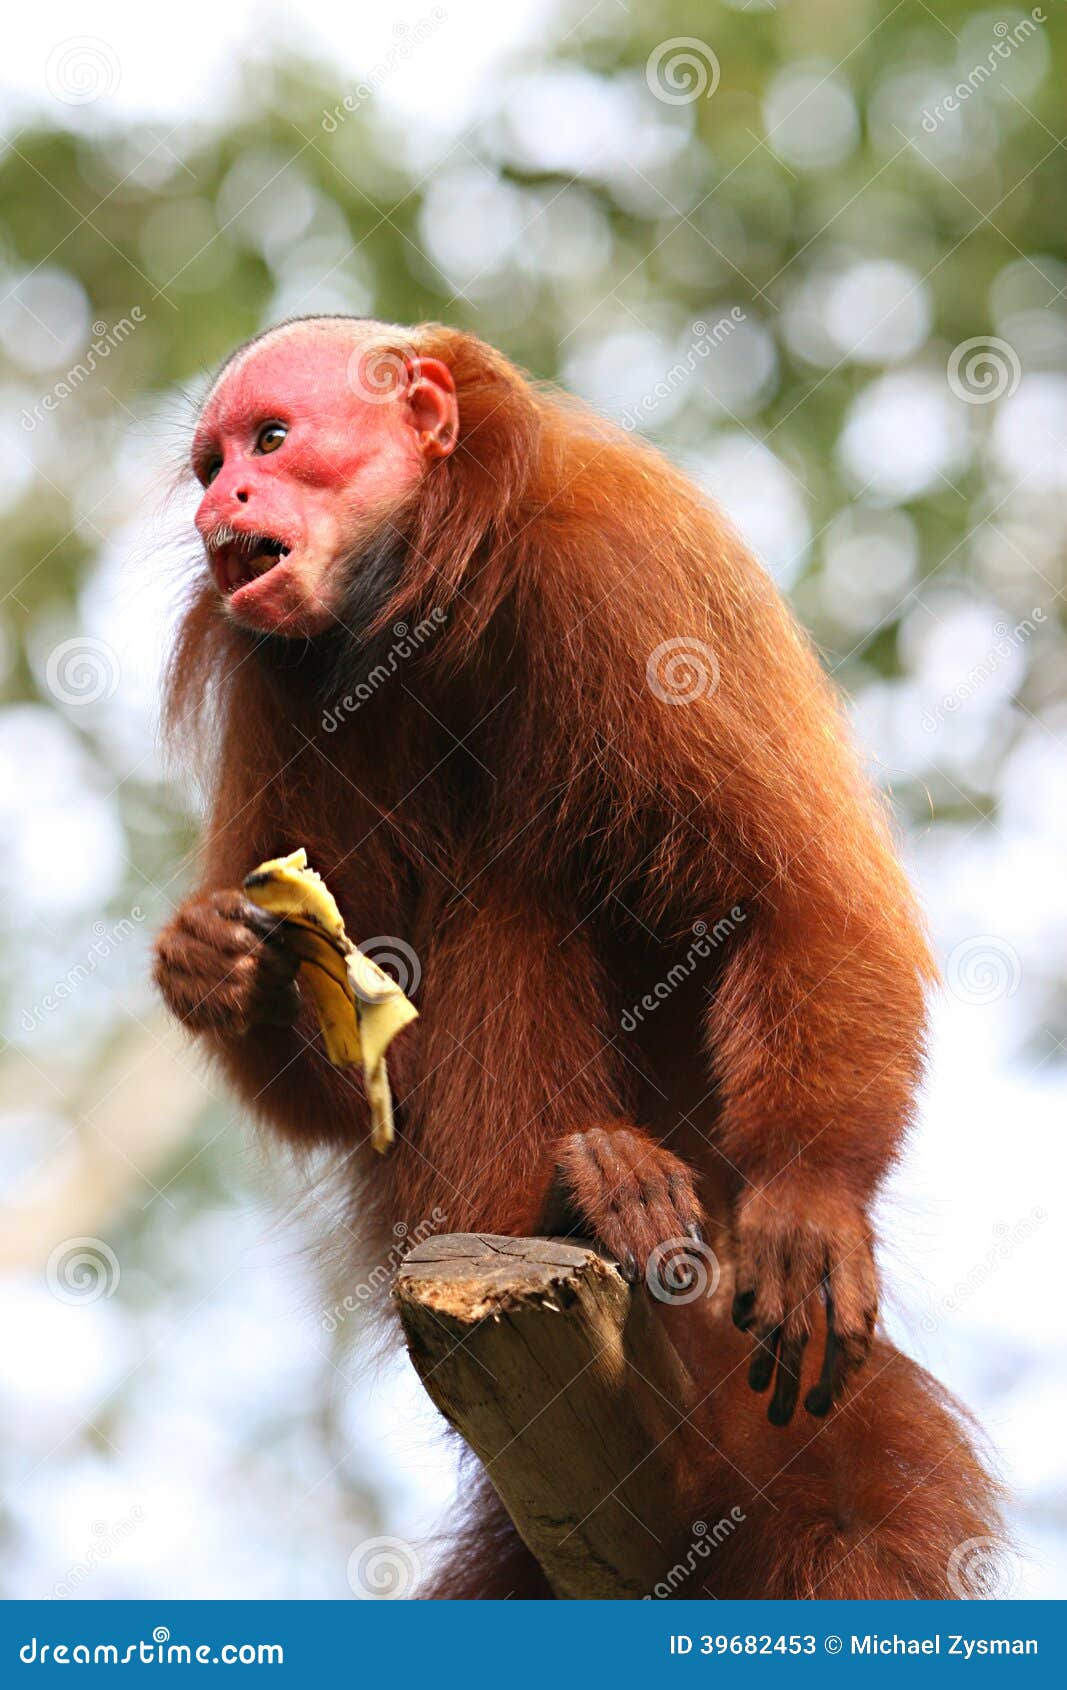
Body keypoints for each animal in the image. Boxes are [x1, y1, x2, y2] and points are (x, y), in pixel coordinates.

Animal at [154, 315, 1001, 1599]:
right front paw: (221, 971)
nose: (223, 505)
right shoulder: (278, 690)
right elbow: (352, 1092)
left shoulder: (630, 572)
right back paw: (574, 1199)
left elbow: (793, 903)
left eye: (272, 438)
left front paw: (811, 1195)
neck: (439, 596)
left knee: (517, 886)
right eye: (210, 466)